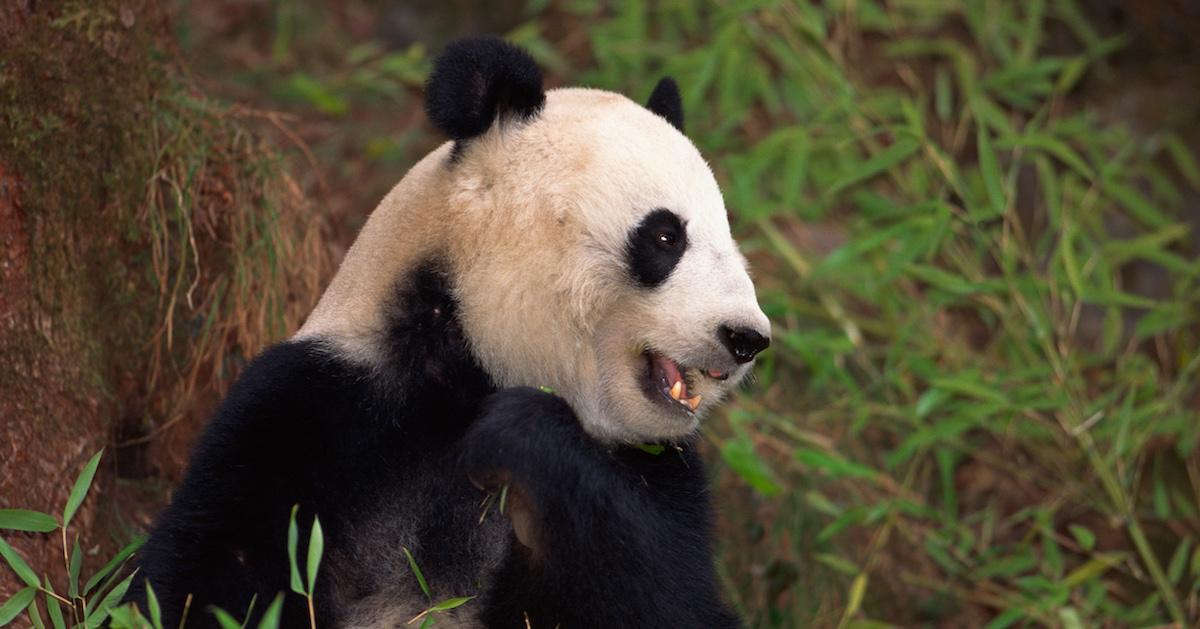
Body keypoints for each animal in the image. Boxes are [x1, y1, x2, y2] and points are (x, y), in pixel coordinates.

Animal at [126, 36, 771, 629]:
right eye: (665, 236)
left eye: (728, 235)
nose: (748, 338)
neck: (472, 363)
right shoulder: (320, 405)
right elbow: (211, 572)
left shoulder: (661, 473)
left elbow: (668, 593)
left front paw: (521, 435)